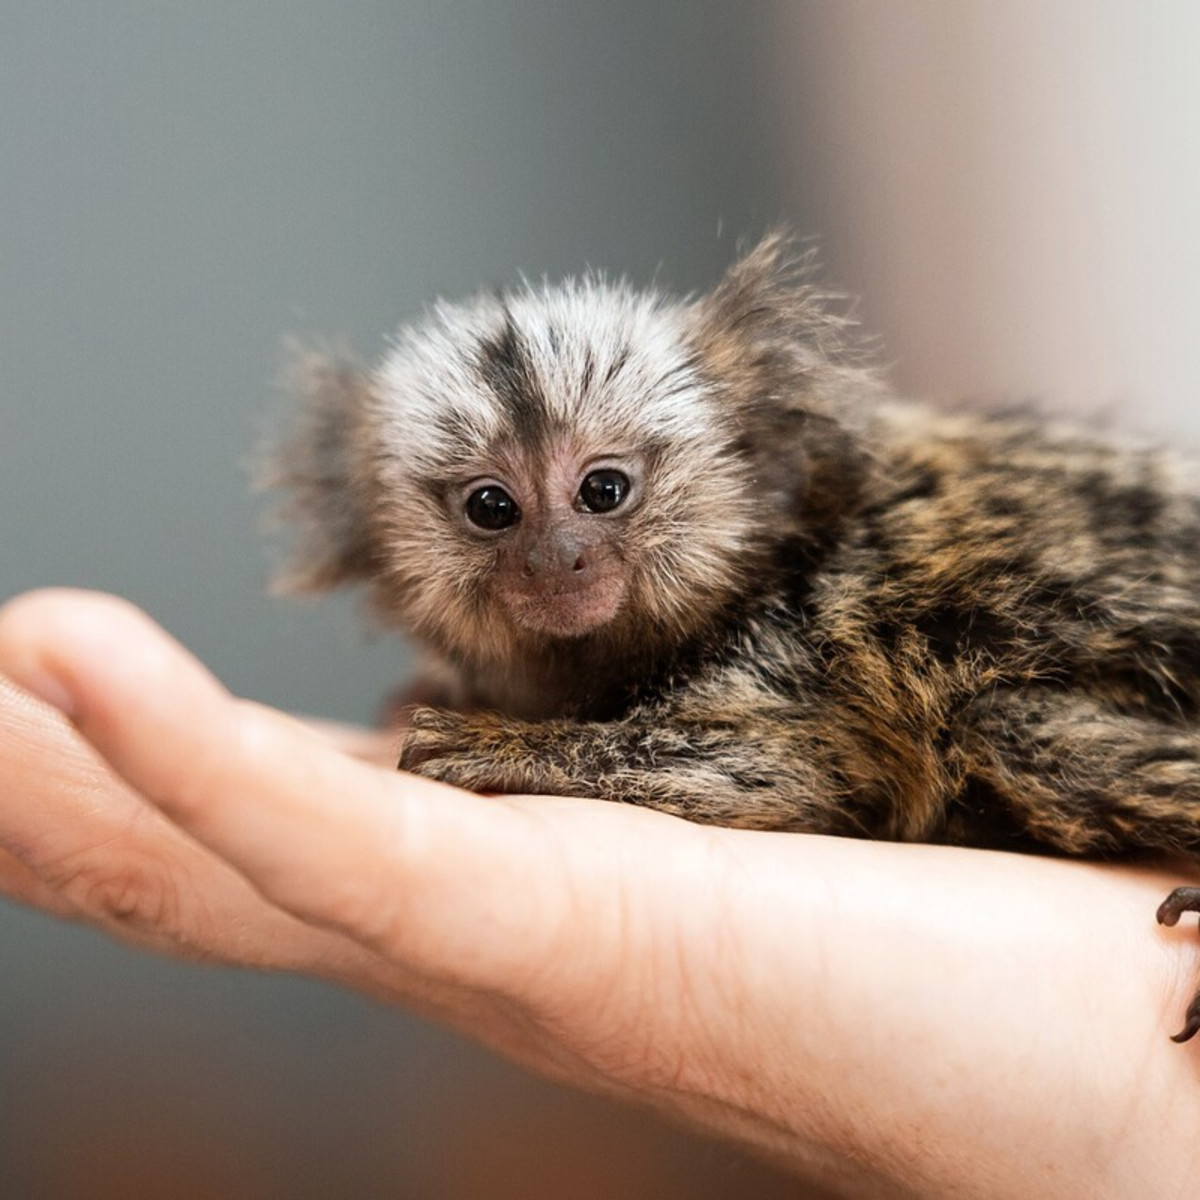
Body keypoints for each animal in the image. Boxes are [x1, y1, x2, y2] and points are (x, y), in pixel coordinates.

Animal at [263, 232, 1200, 1041]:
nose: (557, 560)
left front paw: (509, 746)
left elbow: (779, 772)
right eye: (492, 508)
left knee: (1007, 725)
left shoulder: (781, 653)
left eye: (603, 491)